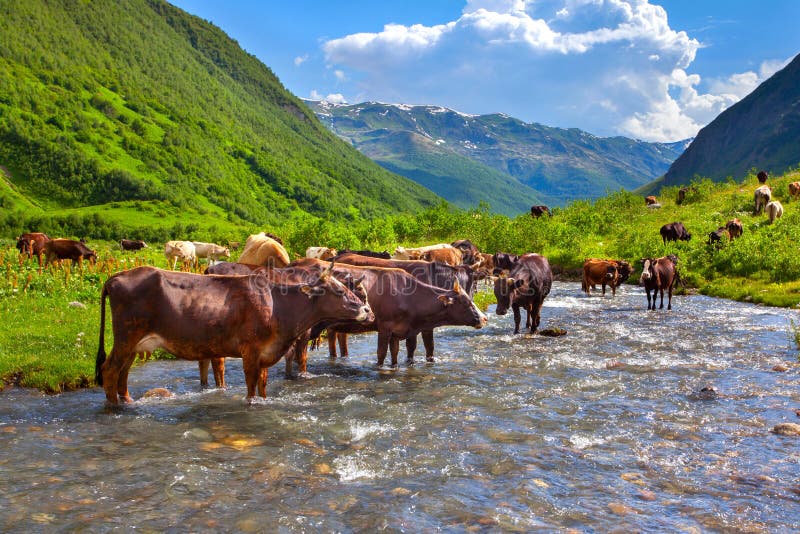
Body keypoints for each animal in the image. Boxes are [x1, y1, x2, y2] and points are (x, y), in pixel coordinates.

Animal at [95, 265, 372, 405]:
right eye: (339, 291)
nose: (367, 310)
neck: (277, 305)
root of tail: (115, 277)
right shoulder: (250, 351)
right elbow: (250, 385)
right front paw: (250, 403)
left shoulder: (265, 354)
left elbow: (262, 384)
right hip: (126, 336)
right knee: (110, 370)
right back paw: (115, 407)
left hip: (133, 342)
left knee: (123, 372)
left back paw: (128, 400)